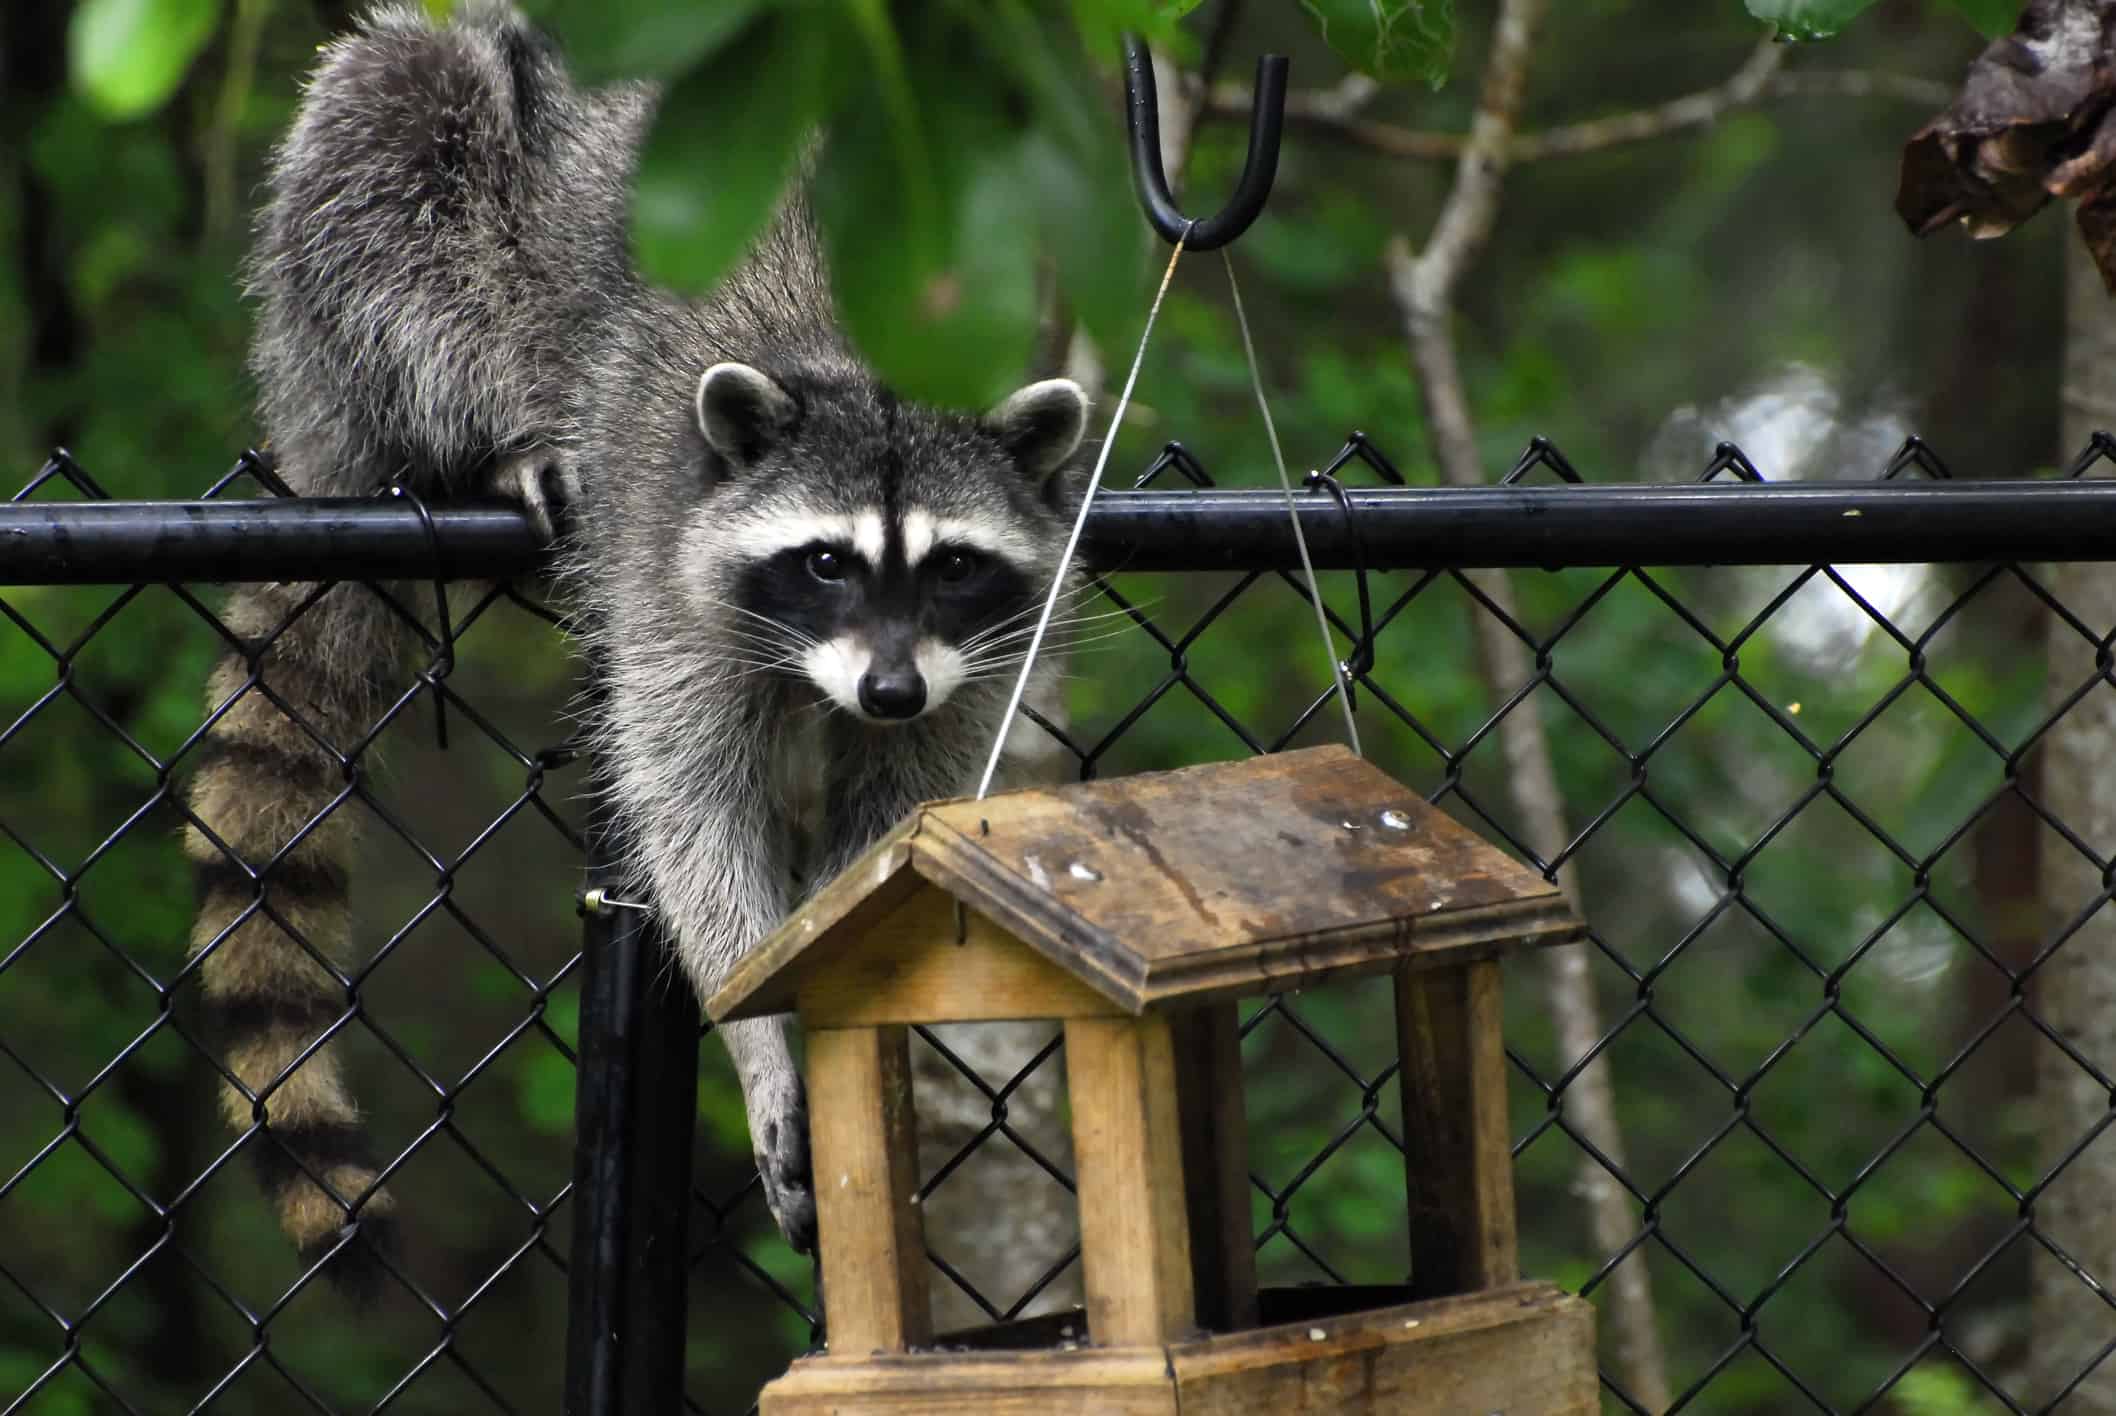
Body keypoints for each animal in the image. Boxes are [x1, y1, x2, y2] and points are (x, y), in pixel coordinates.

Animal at [184, 0, 1088, 1277]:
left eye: (953, 567)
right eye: (825, 562)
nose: (889, 693)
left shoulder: (971, 659)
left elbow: (885, 833)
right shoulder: (662, 558)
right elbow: (695, 816)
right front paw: (763, 1036)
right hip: (361, 250)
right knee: (396, 146)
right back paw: (489, 438)